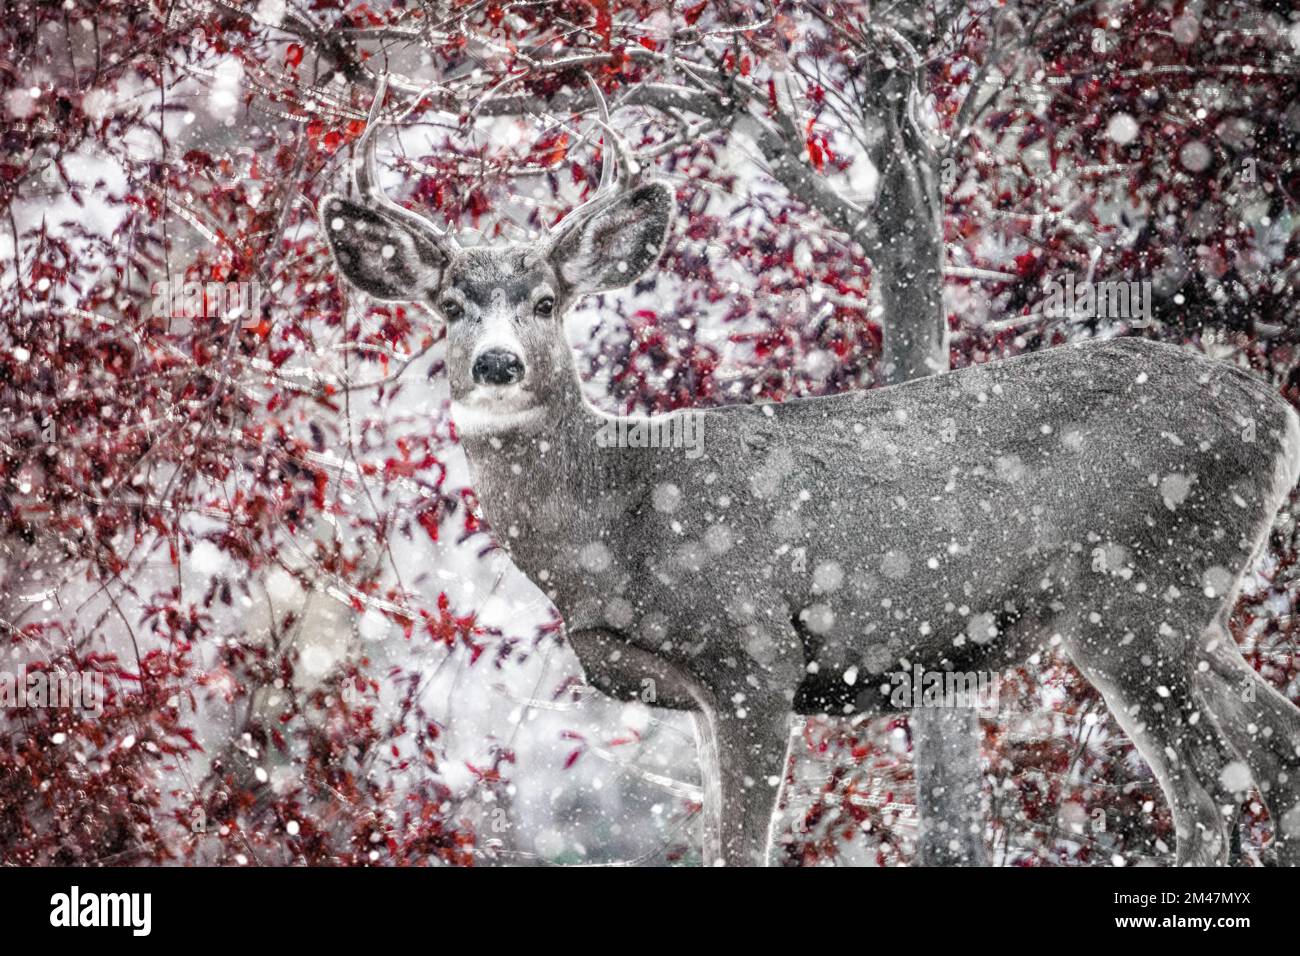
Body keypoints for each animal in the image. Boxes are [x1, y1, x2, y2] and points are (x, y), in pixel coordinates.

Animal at [320, 80, 1300, 866]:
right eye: (452, 306)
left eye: (547, 302)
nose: (496, 363)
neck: (614, 520)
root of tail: (1277, 414)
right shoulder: (693, 691)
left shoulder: (754, 652)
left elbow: (742, 848)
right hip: (1190, 604)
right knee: (1277, 744)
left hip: (1133, 599)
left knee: (1210, 800)